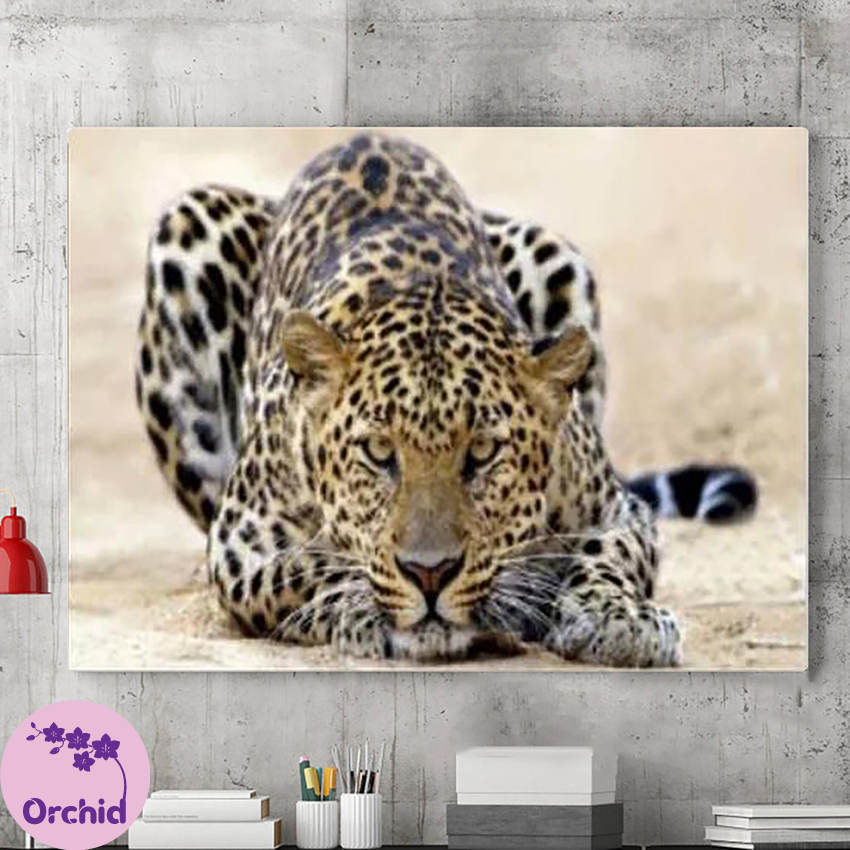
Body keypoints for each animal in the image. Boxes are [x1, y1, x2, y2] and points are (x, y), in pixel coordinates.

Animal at [135, 132, 757, 667]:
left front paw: (617, 618)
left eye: (482, 453)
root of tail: (367, 136)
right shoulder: (241, 545)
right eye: (379, 453)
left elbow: (610, 557)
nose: (430, 573)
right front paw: (367, 608)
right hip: (188, 225)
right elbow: (308, 568)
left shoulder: (616, 509)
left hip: (556, 255)